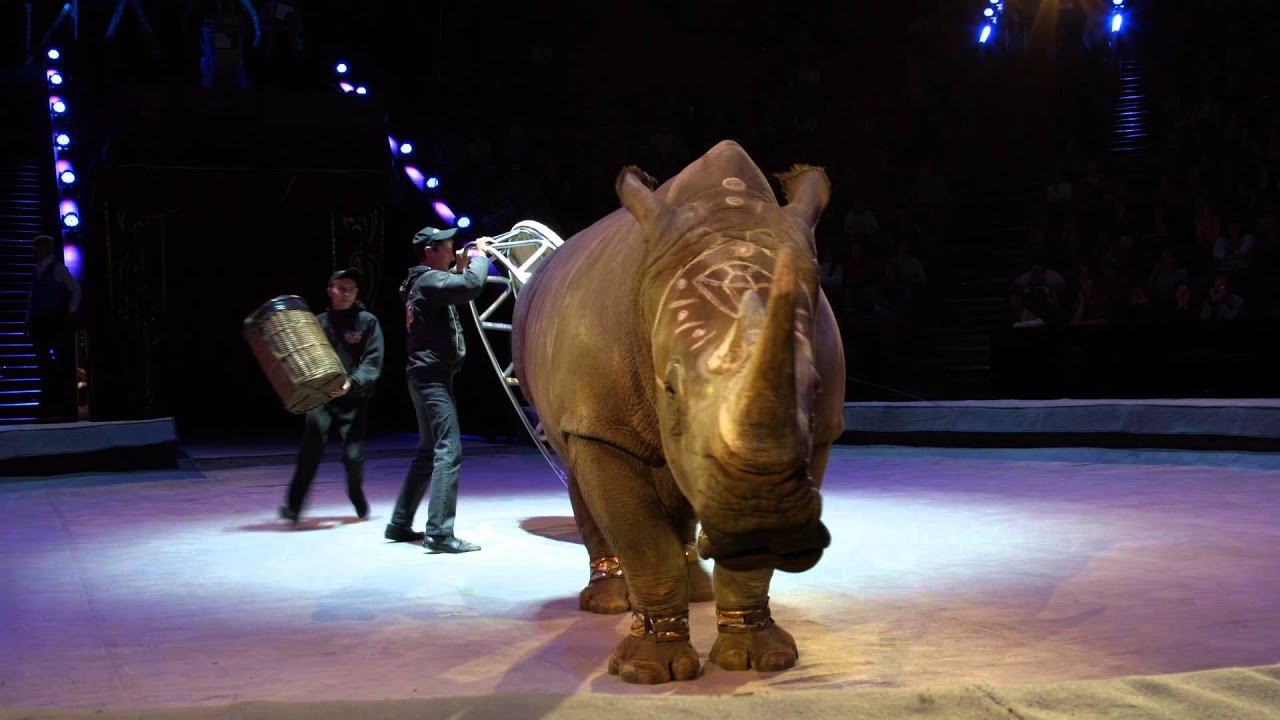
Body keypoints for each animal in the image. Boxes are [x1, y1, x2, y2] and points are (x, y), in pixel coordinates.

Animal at [512, 140, 845, 684]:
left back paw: (699, 592)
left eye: (813, 386)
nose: (765, 523)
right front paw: (649, 671)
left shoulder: (819, 432)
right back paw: (605, 603)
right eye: (668, 388)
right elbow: (643, 540)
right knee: (575, 466)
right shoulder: (603, 425)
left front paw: (759, 657)